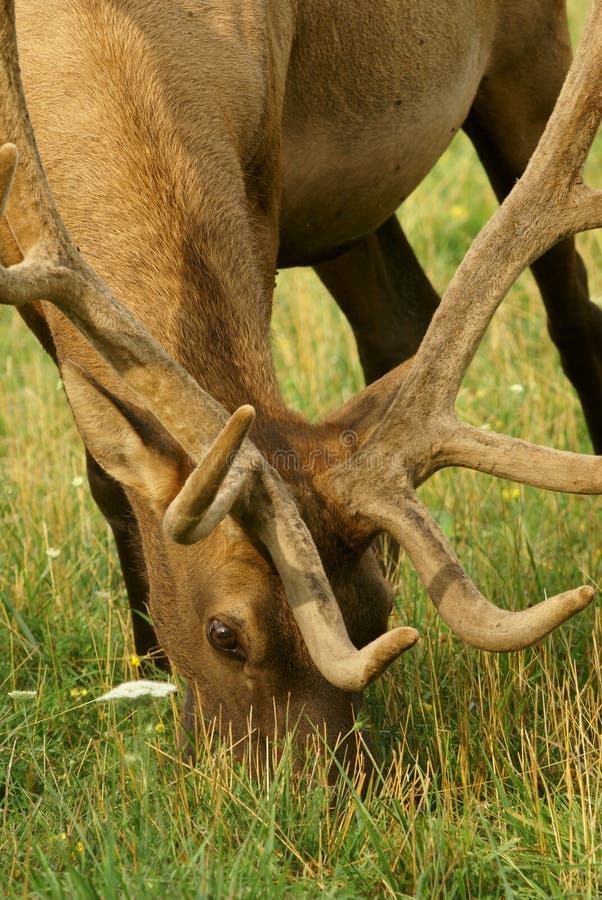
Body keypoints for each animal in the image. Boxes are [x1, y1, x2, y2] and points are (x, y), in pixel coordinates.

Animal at [0, 0, 601, 772]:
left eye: (377, 614)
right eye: (225, 633)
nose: (315, 787)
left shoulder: (263, 180)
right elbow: (108, 476)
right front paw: (148, 667)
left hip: (530, 51)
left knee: (574, 318)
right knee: (403, 315)